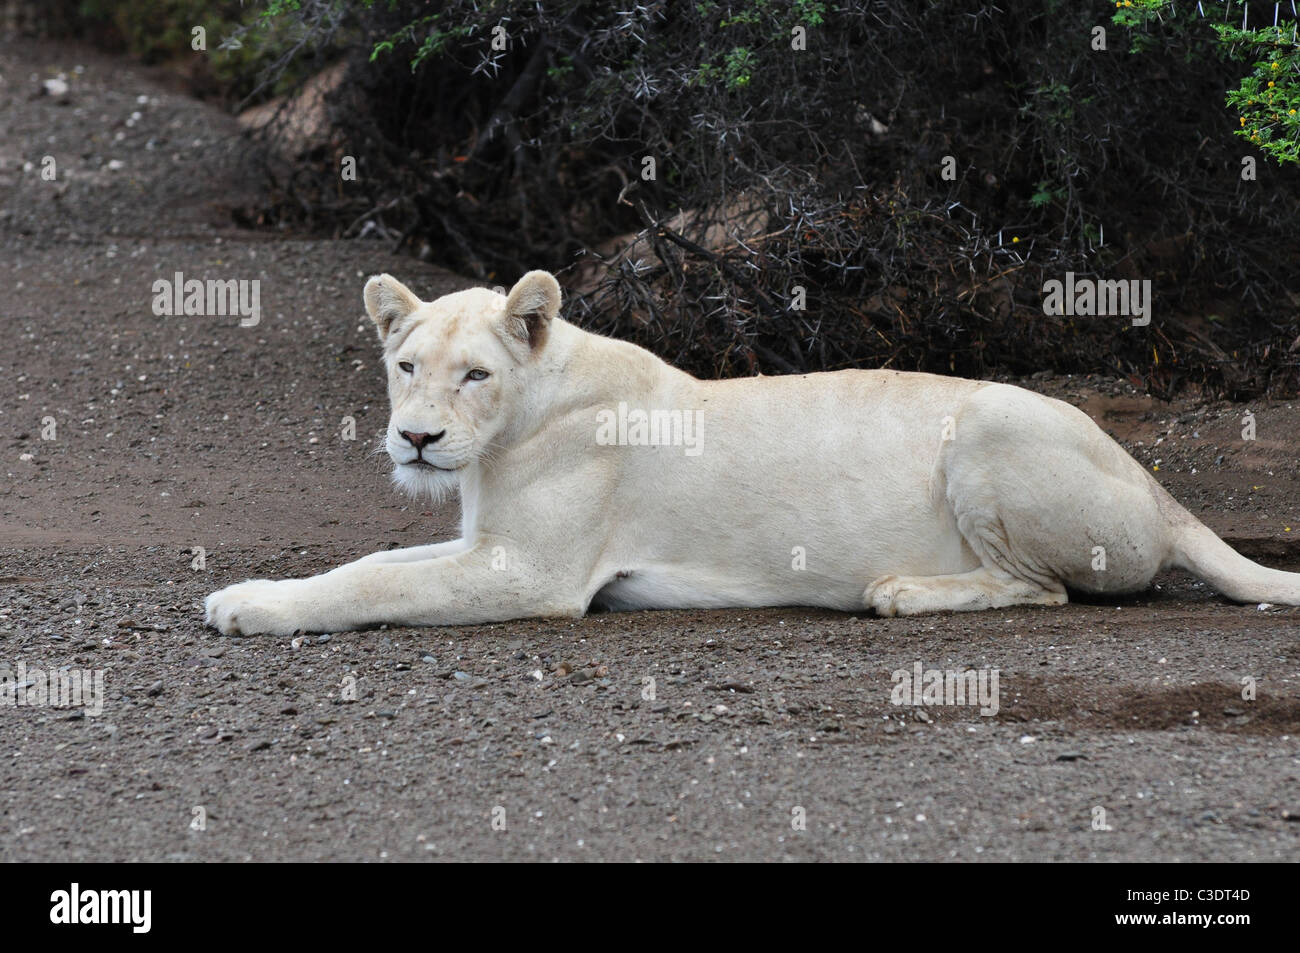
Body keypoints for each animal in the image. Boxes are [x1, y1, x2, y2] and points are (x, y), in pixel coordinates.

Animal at [205, 270, 1300, 635]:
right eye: (405, 364)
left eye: (473, 373)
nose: (416, 438)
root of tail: (1160, 487)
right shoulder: (484, 543)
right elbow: (374, 559)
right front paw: (250, 589)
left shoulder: (532, 572)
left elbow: (372, 583)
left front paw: (248, 609)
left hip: (989, 426)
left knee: (1048, 591)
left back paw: (901, 593)